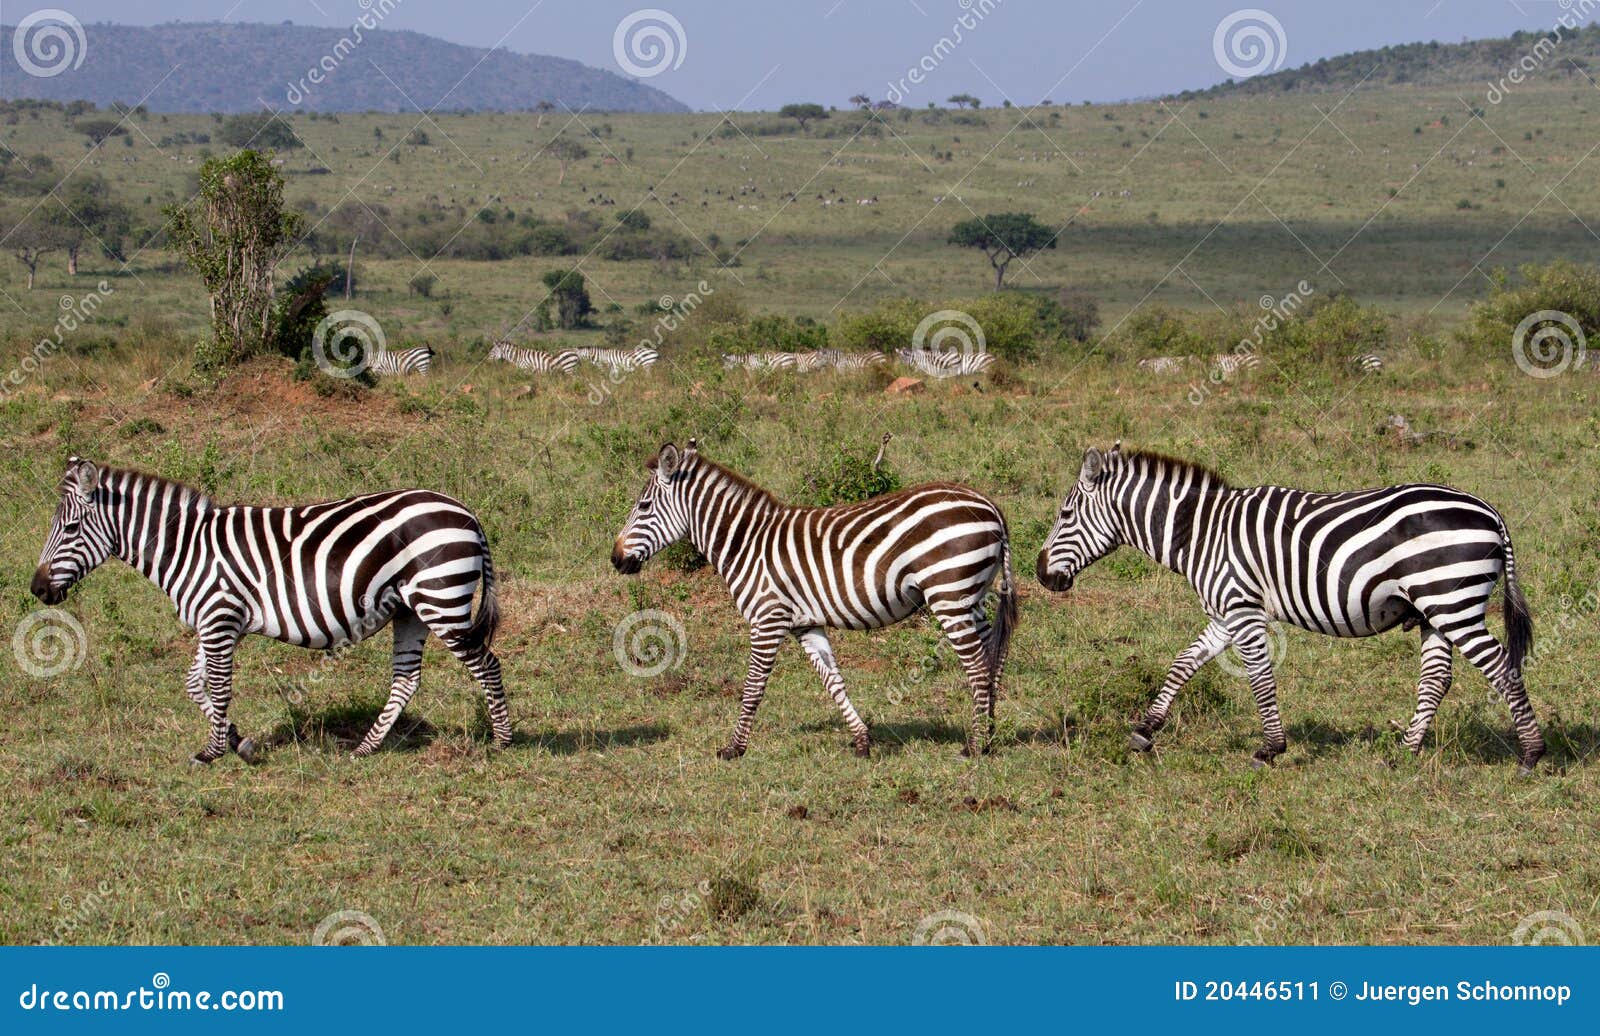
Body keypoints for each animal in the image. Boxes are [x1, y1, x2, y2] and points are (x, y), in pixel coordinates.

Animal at [30, 458, 510, 765]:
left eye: (69, 528)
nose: (37, 590)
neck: (187, 548)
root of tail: (465, 512)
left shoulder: (220, 618)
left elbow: (219, 688)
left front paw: (212, 752)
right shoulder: (214, 622)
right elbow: (194, 685)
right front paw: (237, 743)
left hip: (441, 599)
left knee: (487, 664)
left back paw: (501, 742)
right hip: (411, 609)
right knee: (406, 680)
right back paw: (365, 749)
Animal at [611, 440, 1017, 759]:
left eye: (643, 507)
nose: (615, 559)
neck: (746, 543)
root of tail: (990, 505)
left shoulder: (767, 619)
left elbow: (753, 687)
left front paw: (734, 748)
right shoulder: (805, 624)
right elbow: (833, 682)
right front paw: (862, 741)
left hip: (949, 596)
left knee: (977, 668)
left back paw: (975, 746)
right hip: (972, 599)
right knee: (992, 660)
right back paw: (990, 736)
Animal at [1036, 444, 1544, 773]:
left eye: (1064, 515)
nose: (1041, 574)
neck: (1201, 533)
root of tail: (1490, 511)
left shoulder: (1243, 609)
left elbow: (1260, 677)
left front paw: (1270, 749)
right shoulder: (1226, 610)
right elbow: (1184, 663)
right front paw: (1145, 730)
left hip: (1452, 601)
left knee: (1503, 667)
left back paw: (1531, 755)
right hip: (1435, 611)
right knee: (1438, 678)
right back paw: (1404, 753)